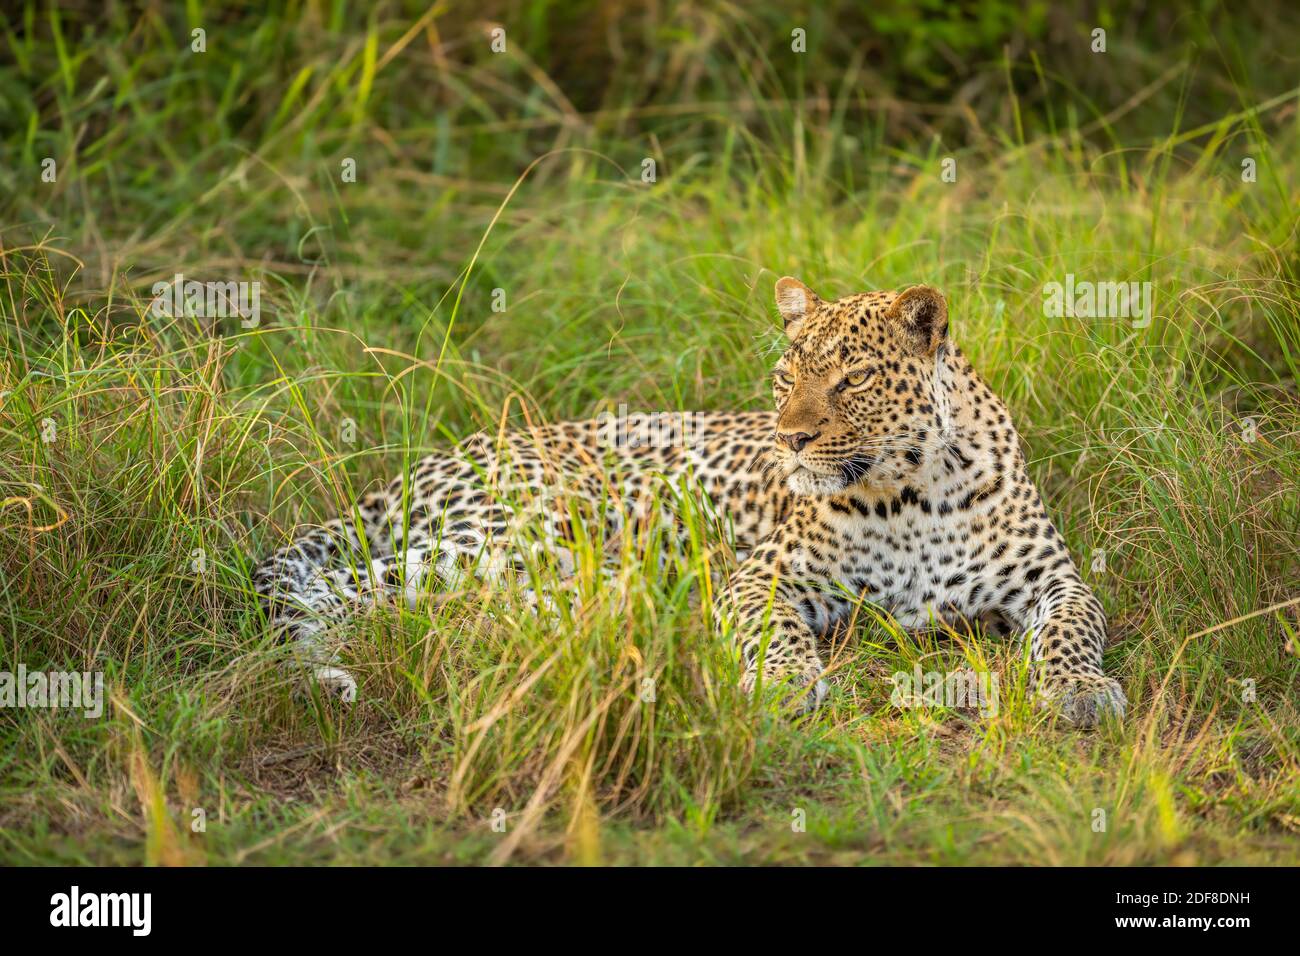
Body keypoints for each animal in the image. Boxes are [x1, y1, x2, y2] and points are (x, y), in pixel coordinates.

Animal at [251, 277, 1126, 726]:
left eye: (852, 380)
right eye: (787, 374)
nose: (791, 438)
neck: (912, 494)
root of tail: (421, 466)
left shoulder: (1054, 578)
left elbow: (1075, 628)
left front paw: (1080, 690)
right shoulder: (767, 574)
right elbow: (774, 631)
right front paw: (783, 684)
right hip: (527, 531)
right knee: (345, 586)